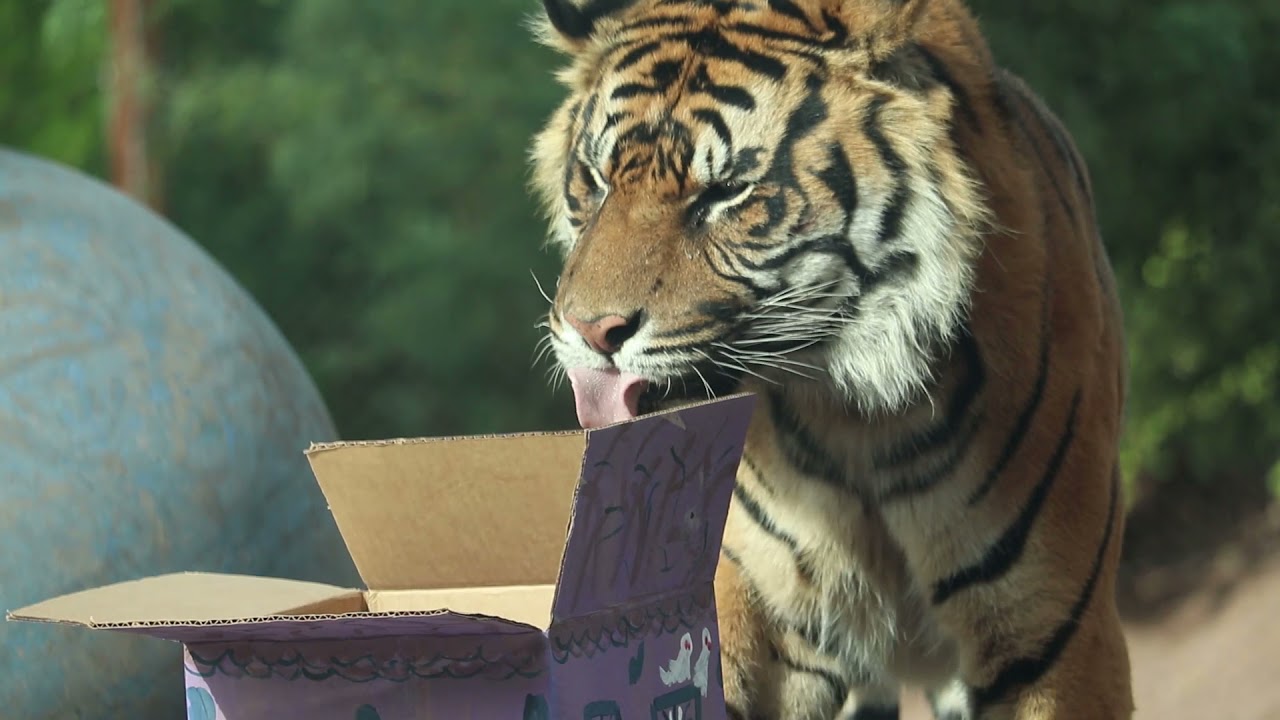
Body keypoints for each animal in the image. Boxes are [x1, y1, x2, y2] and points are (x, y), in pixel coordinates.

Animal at [528, 0, 1133, 718]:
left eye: (727, 192)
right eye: (595, 179)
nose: (590, 331)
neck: (854, 415)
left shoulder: (1049, 638)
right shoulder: (742, 593)